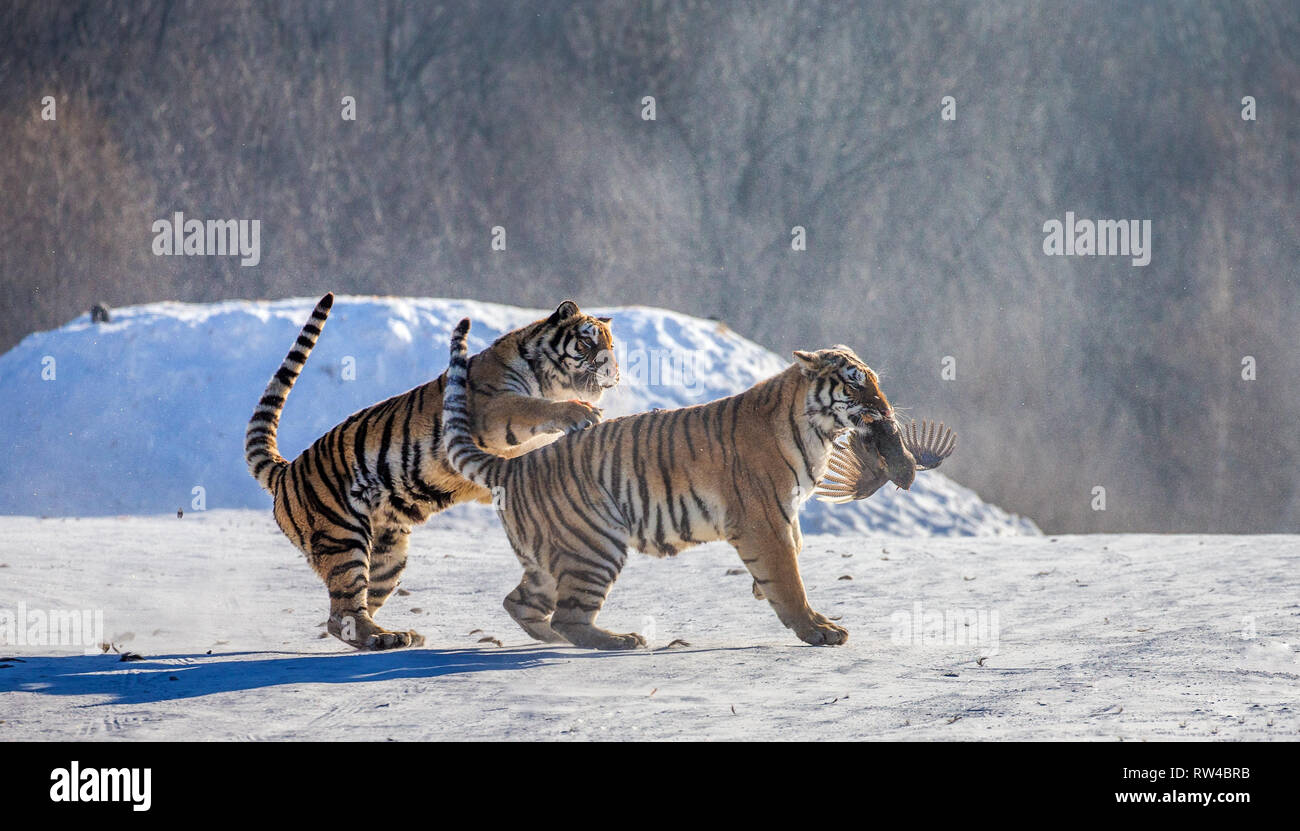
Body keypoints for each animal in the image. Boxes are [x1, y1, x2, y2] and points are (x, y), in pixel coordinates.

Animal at [245, 294, 618, 650]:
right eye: (587, 342)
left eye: (611, 346)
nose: (613, 369)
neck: (549, 380)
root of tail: (286, 470)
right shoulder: (494, 409)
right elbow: (534, 407)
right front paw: (580, 412)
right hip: (343, 538)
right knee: (342, 614)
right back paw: (384, 639)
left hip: (387, 556)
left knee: (352, 609)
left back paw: (394, 635)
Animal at [441, 317, 899, 649]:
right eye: (855, 382)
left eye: (876, 381)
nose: (887, 410)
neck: (818, 432)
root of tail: (515, 466)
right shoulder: (764, 519)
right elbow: (789, 579)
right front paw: (818, 630)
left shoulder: (783, 512)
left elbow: (797, 547)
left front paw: (759, 590)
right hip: (595, 546)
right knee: (568, 617)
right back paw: (621, 640)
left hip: (549, 560)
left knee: (522, 604)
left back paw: (553, 638)